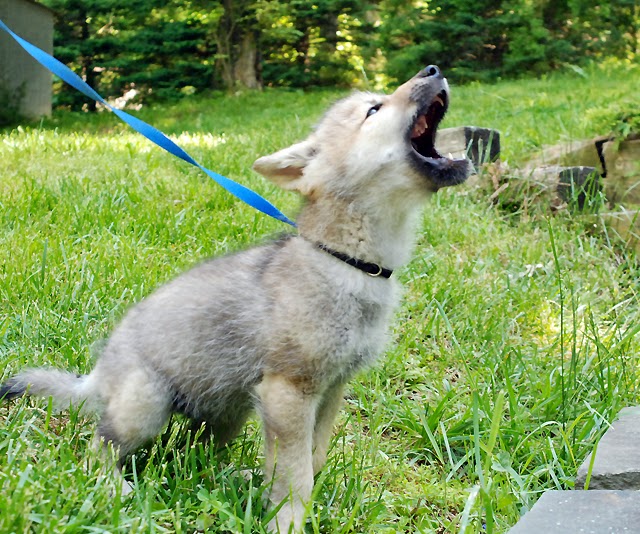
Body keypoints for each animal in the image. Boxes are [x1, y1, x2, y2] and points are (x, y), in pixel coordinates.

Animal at [1, 65, 469, 532]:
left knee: (195, 451)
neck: (347, 262)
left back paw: (235, 476)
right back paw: (115, 488)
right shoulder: (289, 391)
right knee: (98, 448)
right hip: (146, 404)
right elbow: (296, 473)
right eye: (374, 109)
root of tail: (98, 374)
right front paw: (288, 521)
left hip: (231, 407)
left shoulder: (332, 387)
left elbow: (312, 457)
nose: (433, 69)